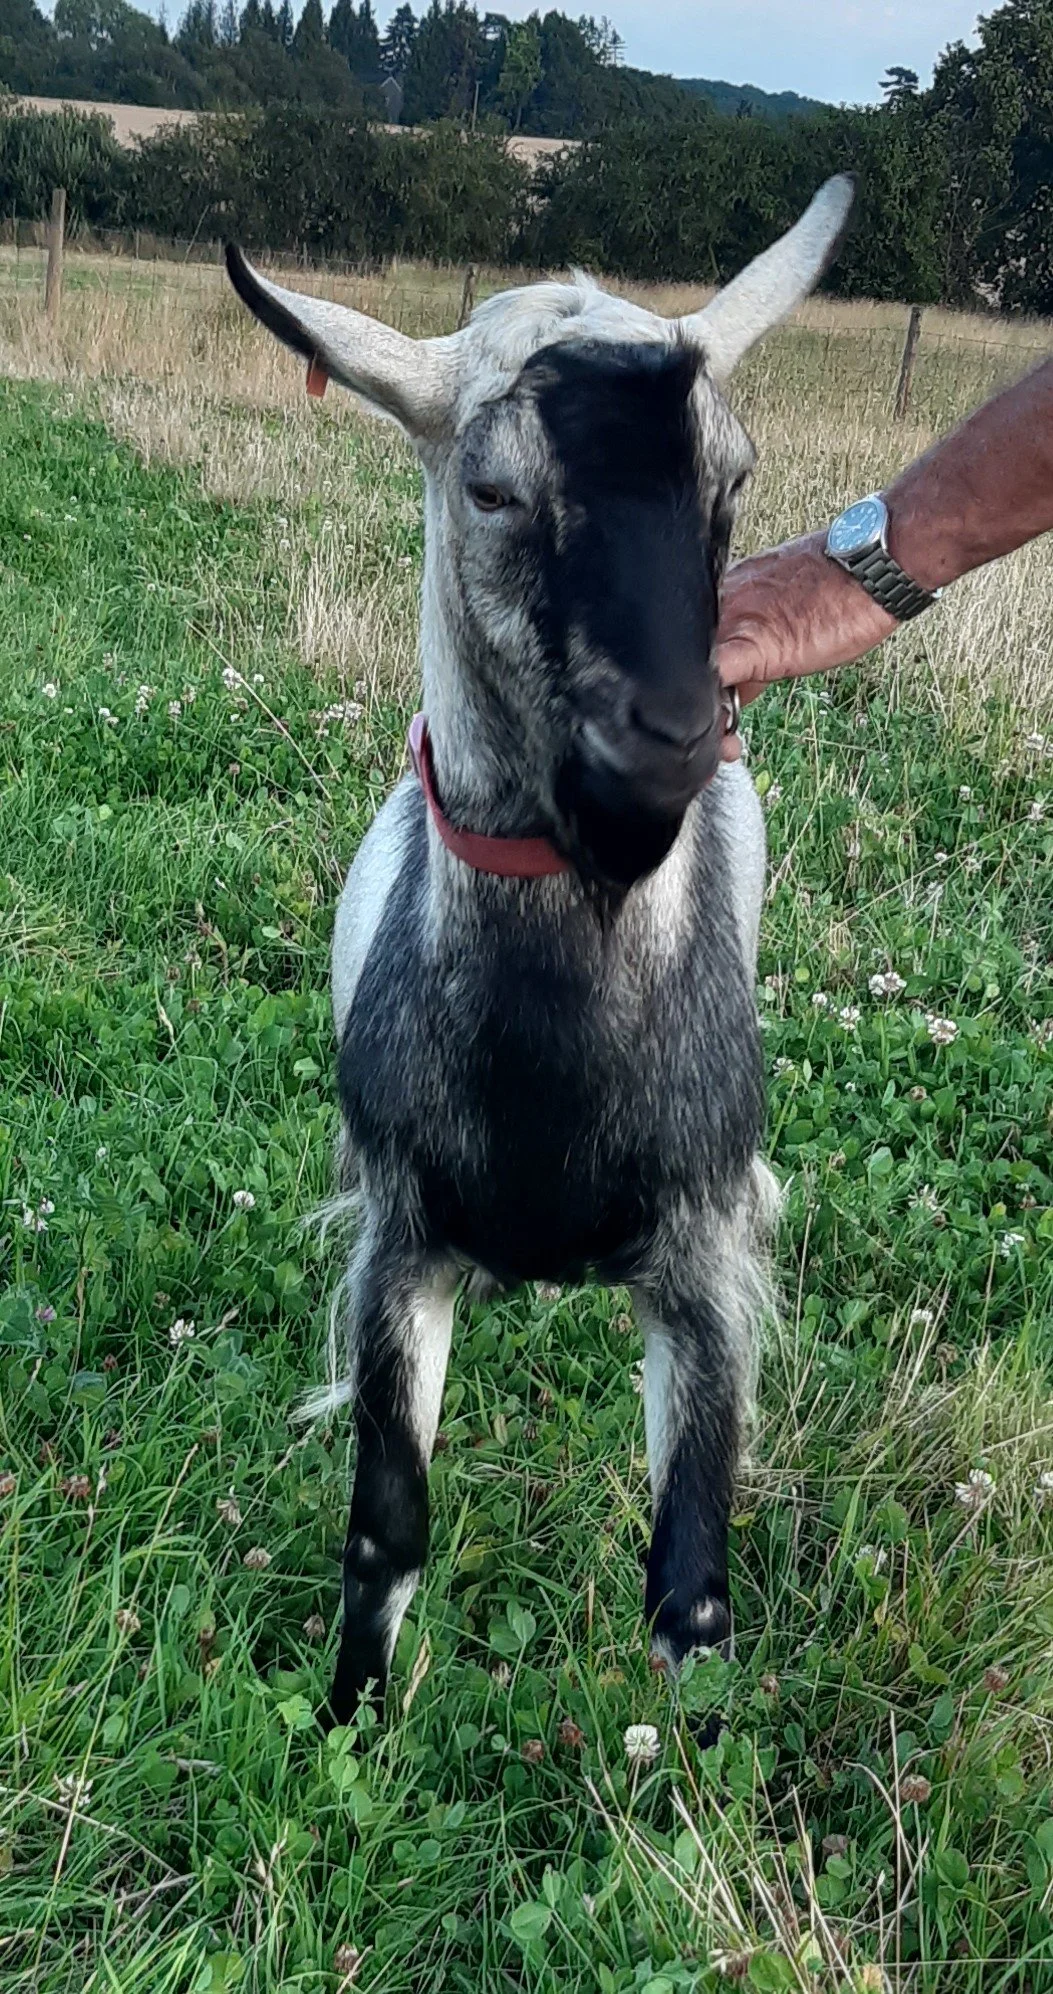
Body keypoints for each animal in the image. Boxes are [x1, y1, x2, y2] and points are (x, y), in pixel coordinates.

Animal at [226, 176, 854, 1725]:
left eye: (732, 479)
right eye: (493, 489)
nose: (669, 744)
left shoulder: (701, 1265)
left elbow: (691, 1585)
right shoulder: (399, 1241)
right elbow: (387, 1524)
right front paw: (346, 1727)